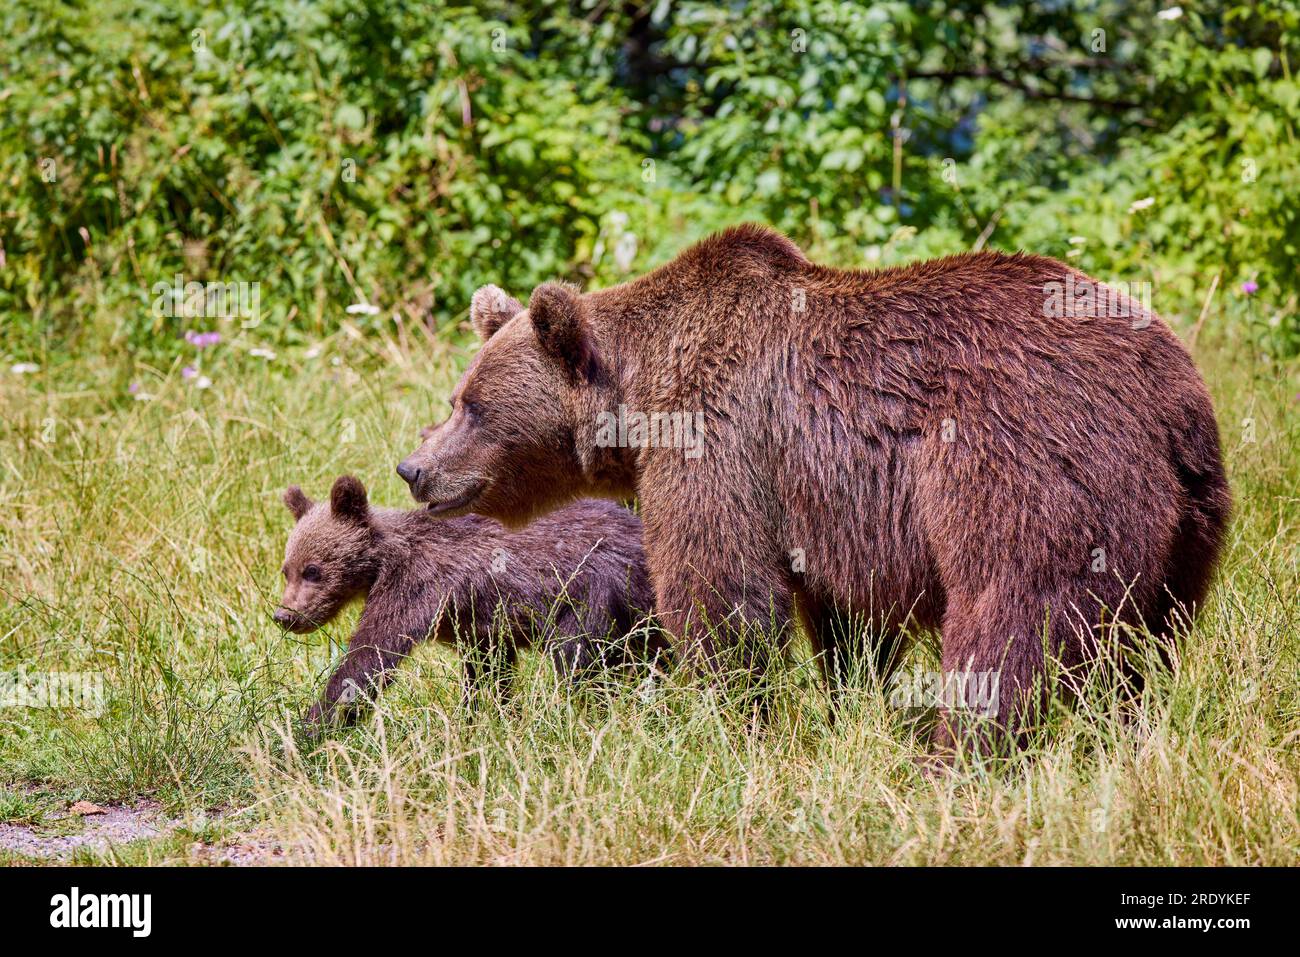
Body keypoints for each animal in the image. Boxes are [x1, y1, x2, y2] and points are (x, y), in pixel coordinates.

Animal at [274, 475, 664, 732]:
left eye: (313, 570)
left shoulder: (416, 589)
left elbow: (368, 658)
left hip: (594, 596)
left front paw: (307, 730)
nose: (285, 615)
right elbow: (487, 673)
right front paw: (483, 719)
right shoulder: (479, 626)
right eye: (286, 569)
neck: (382, 564)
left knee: (581, 661)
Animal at [396, 224, 1230, 752]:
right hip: (1187, 523)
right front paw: (844, 707)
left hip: (1027, 467)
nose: (413, 467)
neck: (639, 398)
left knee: (1014, 611)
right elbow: (848, 621)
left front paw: (728, 717)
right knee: (1144, 644)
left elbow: (719, 587)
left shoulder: (720, 442)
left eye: (472, 405)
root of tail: (1169, 393)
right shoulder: (836, 510)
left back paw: (958, 750)